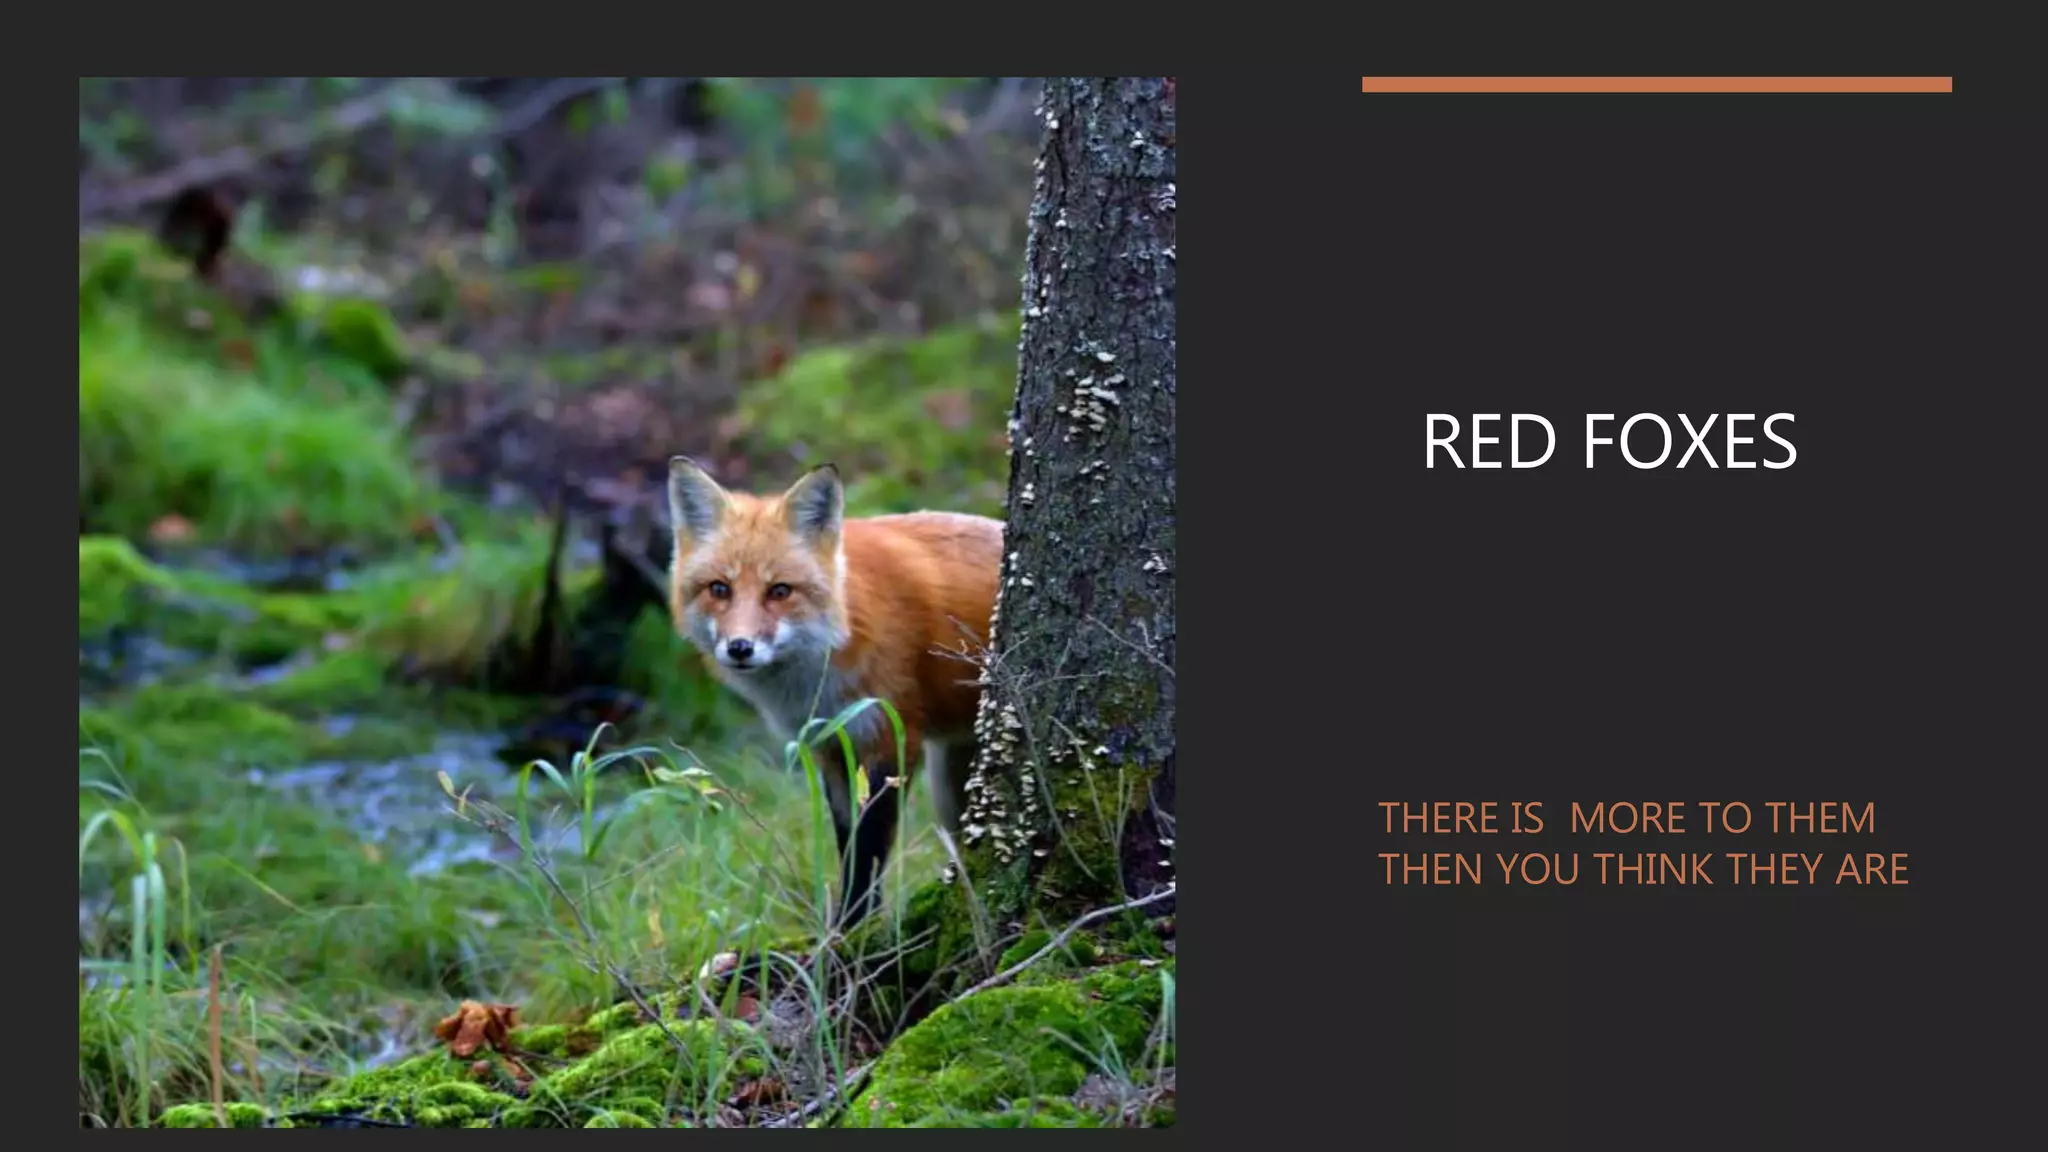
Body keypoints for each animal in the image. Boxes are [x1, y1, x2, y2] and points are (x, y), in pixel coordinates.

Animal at [664, 455, 1005, 930]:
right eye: (719, 589)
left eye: (780, 591)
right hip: (950, 781)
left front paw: (857, 931)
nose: (740, 648)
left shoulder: (890, 739)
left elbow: (870, 847)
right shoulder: (830, 744)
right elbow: (848, 842)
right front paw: (847, 925)